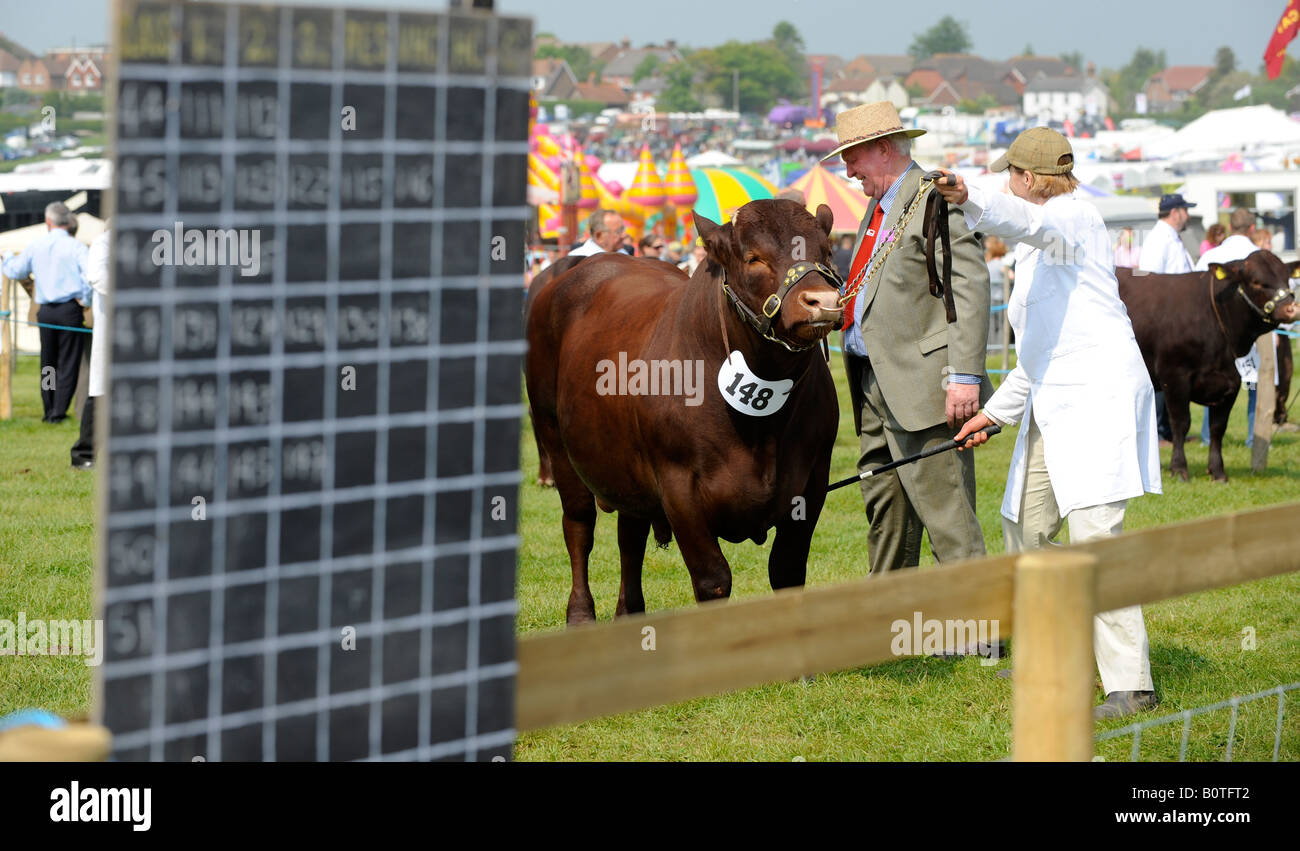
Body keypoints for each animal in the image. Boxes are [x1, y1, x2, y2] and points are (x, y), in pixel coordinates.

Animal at [525, 199, 843, 625]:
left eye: (826, 252)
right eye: (753, 258)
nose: (821, 302)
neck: (762, 429)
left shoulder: (812, 482)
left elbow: (788, 573)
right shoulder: (679, 485)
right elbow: (714, 580)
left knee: (630, 536)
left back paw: (630, 612)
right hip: (555, 437)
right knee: (579, 525)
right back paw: (580, 614)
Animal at [1116, 251, 1299, 482]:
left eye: (1287, 278)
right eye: (1256, 282)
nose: (1292, 309)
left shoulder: (1231, 382)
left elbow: (1217, 428)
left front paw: (1218, 471)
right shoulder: (1174, 375)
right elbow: (1181, 423)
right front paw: (1179, 469)